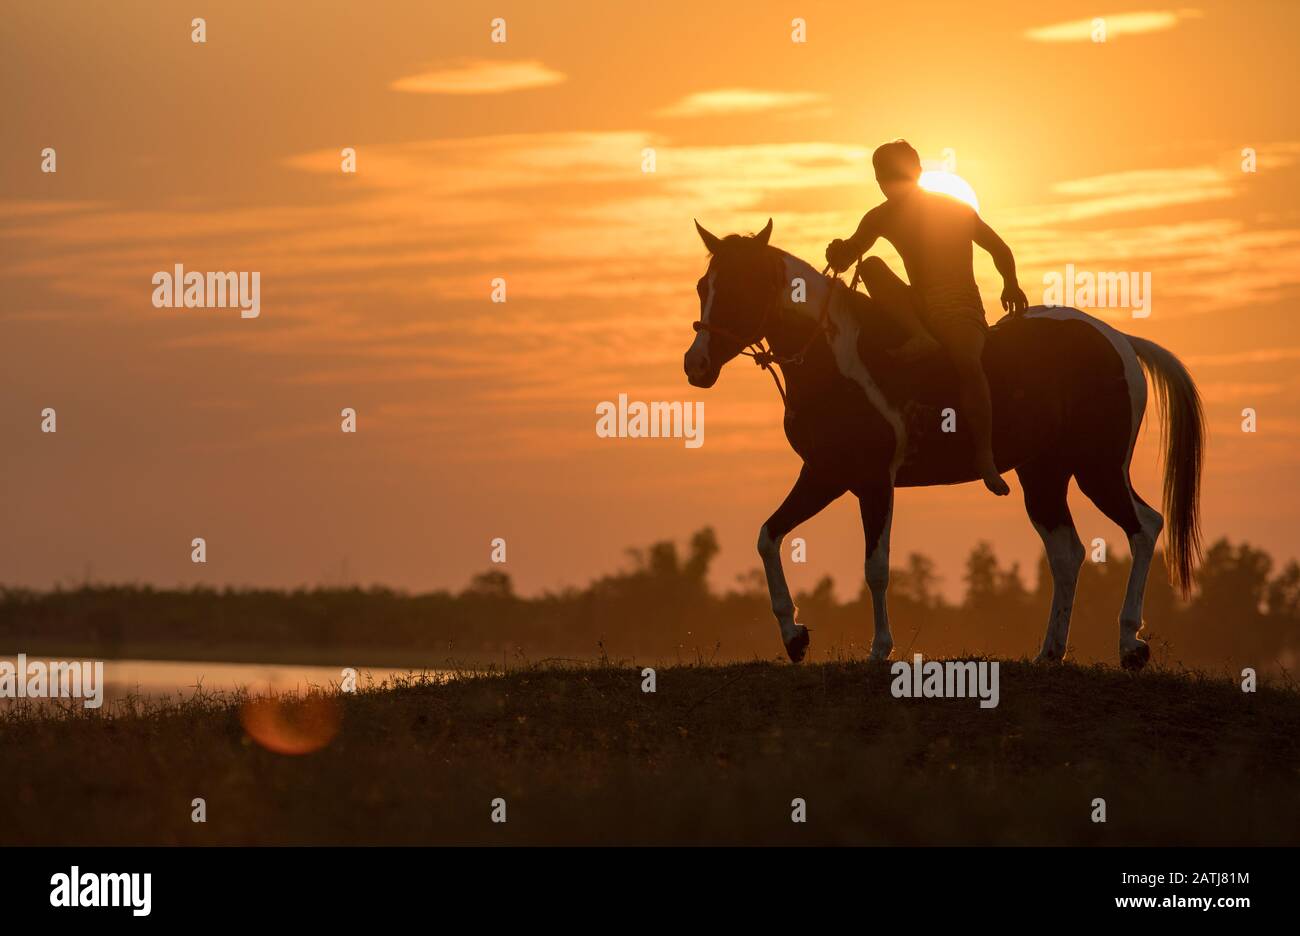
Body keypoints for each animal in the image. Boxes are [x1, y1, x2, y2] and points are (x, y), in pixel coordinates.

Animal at [683, 219, 1203, 670]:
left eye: (740, 287)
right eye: (703, 287)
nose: (696, 365)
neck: (834, 357)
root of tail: (1119, 340)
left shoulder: (872, 482)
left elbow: (876, 567)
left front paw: (879, 648)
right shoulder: (824, 475)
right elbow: (768, 537)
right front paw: (794, 637)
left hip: (1099, 467)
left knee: (1143, 528)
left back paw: (1130, 642)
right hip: (1045, 475)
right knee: (1067, 553)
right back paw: (1051, 651)